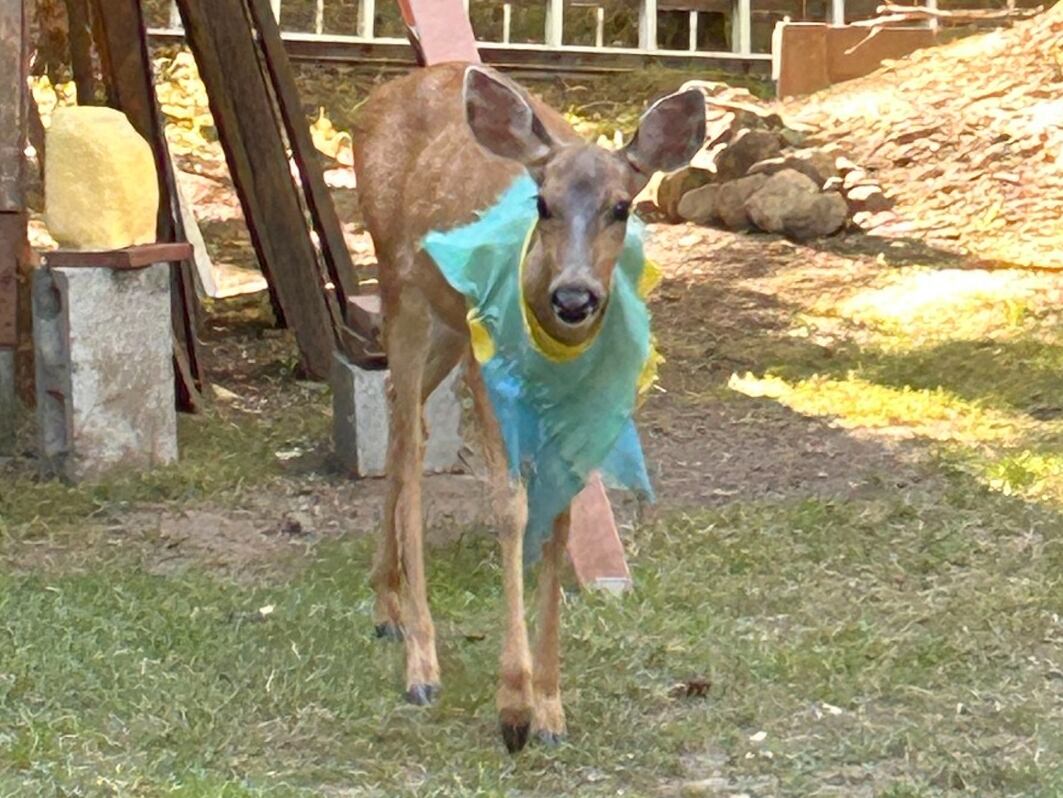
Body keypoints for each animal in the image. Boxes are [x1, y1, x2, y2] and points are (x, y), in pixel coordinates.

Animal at [352, 62, 705, 753]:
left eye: (621, 207)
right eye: (542, 204)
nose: (574, 296)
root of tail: (377, 97)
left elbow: (562, 520)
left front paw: (550, 707)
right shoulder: (492, 374)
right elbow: (513, 508)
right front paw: (513, 705)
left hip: (449, 326)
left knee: (401, 413)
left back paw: (385, 608)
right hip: (401, 286)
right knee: (408, 438)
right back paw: (421, 661)